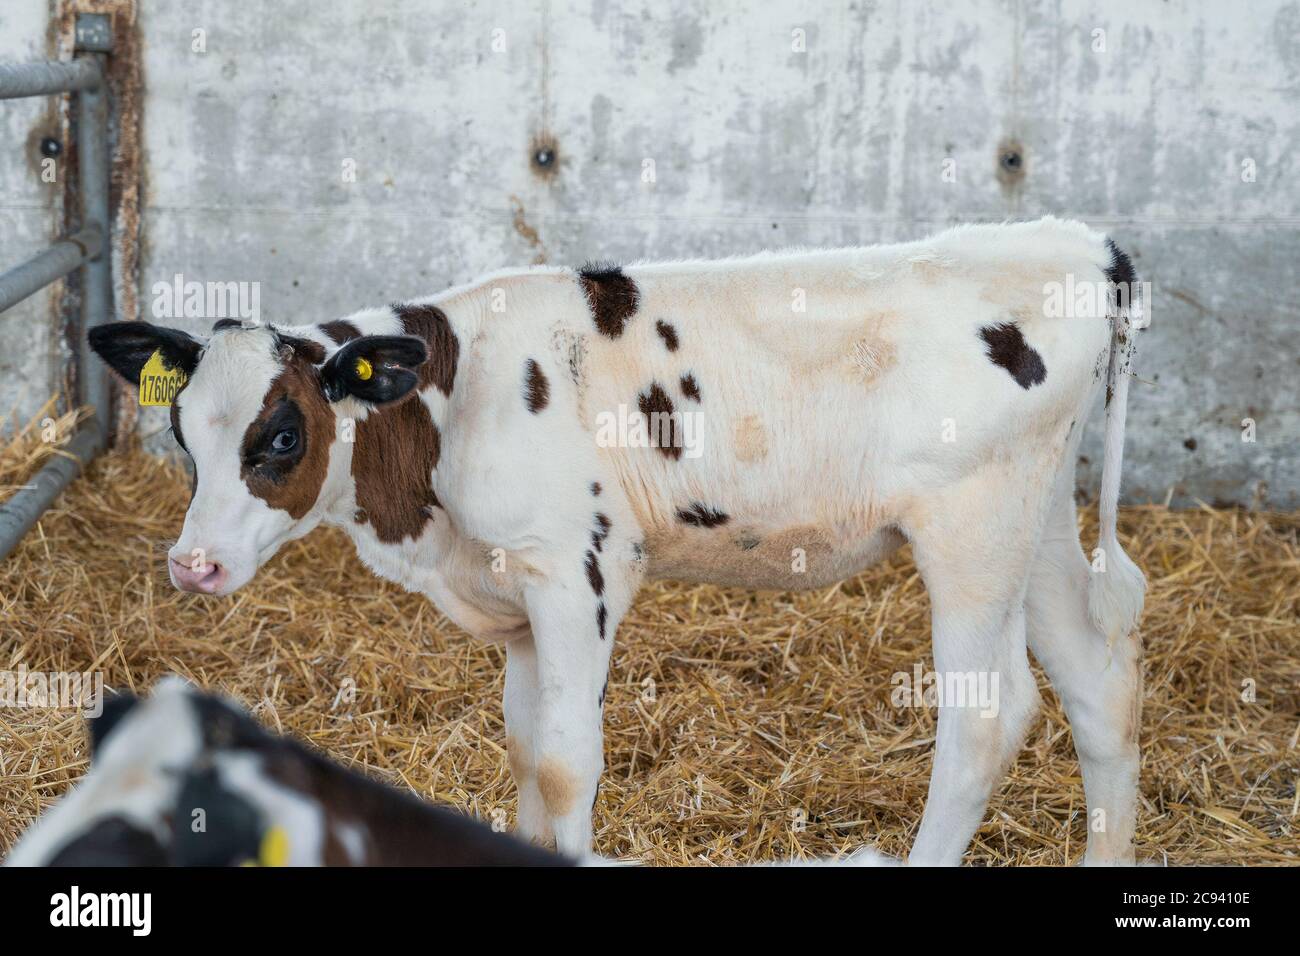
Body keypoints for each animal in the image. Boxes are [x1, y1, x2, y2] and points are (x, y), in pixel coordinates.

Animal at [86, 216, 1146, 865]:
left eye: (282, 435)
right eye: (182, 433)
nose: (192, 564)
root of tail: (1074, 244)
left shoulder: (578, 570)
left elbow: (566, 762)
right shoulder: (515, 589)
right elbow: (525, 750)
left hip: (973, 530)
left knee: (985, 718)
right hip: (1041, 519)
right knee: (1099, 684)